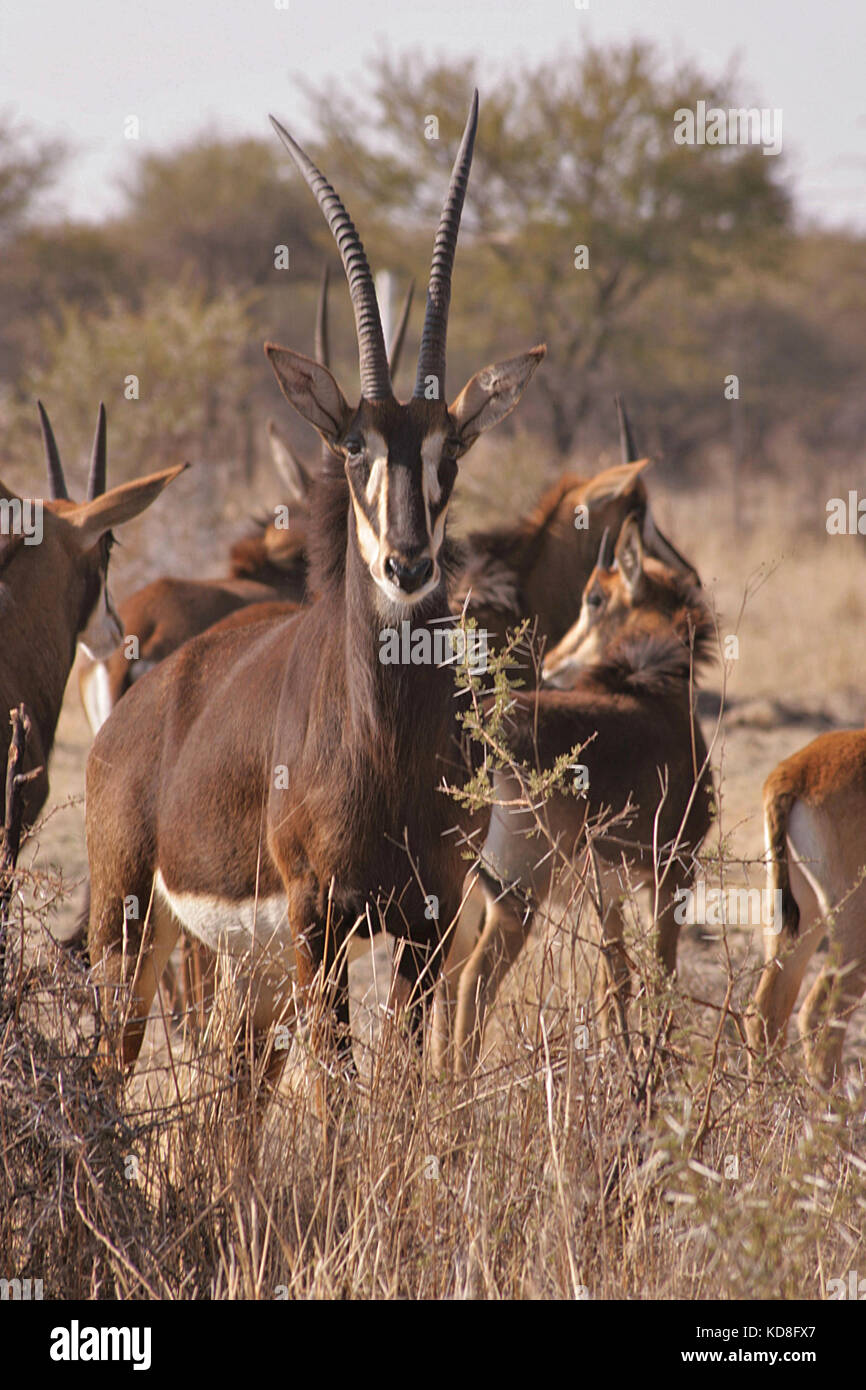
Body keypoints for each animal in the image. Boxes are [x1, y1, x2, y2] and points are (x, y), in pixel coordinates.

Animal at [85, 92, 545, 1099]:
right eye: (354, 446)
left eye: (452, 451)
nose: (408, 565)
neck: (383, 742)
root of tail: (133, 712)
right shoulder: (316, 919)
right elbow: (336, 1093)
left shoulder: (429, 918)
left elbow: (402, 1084)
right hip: (130, 924)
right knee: (110, 1065)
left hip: (245, 968)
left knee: (233, 1091)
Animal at [440, 514, 715, 1075]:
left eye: (595, 598)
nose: (554, 663)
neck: (653, 692)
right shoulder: (672, 874)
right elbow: (661, 977)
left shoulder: (606, 891)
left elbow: (617, 983)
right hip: (516, 894)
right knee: (473, 982)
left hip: (463, 893)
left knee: (436, 982)